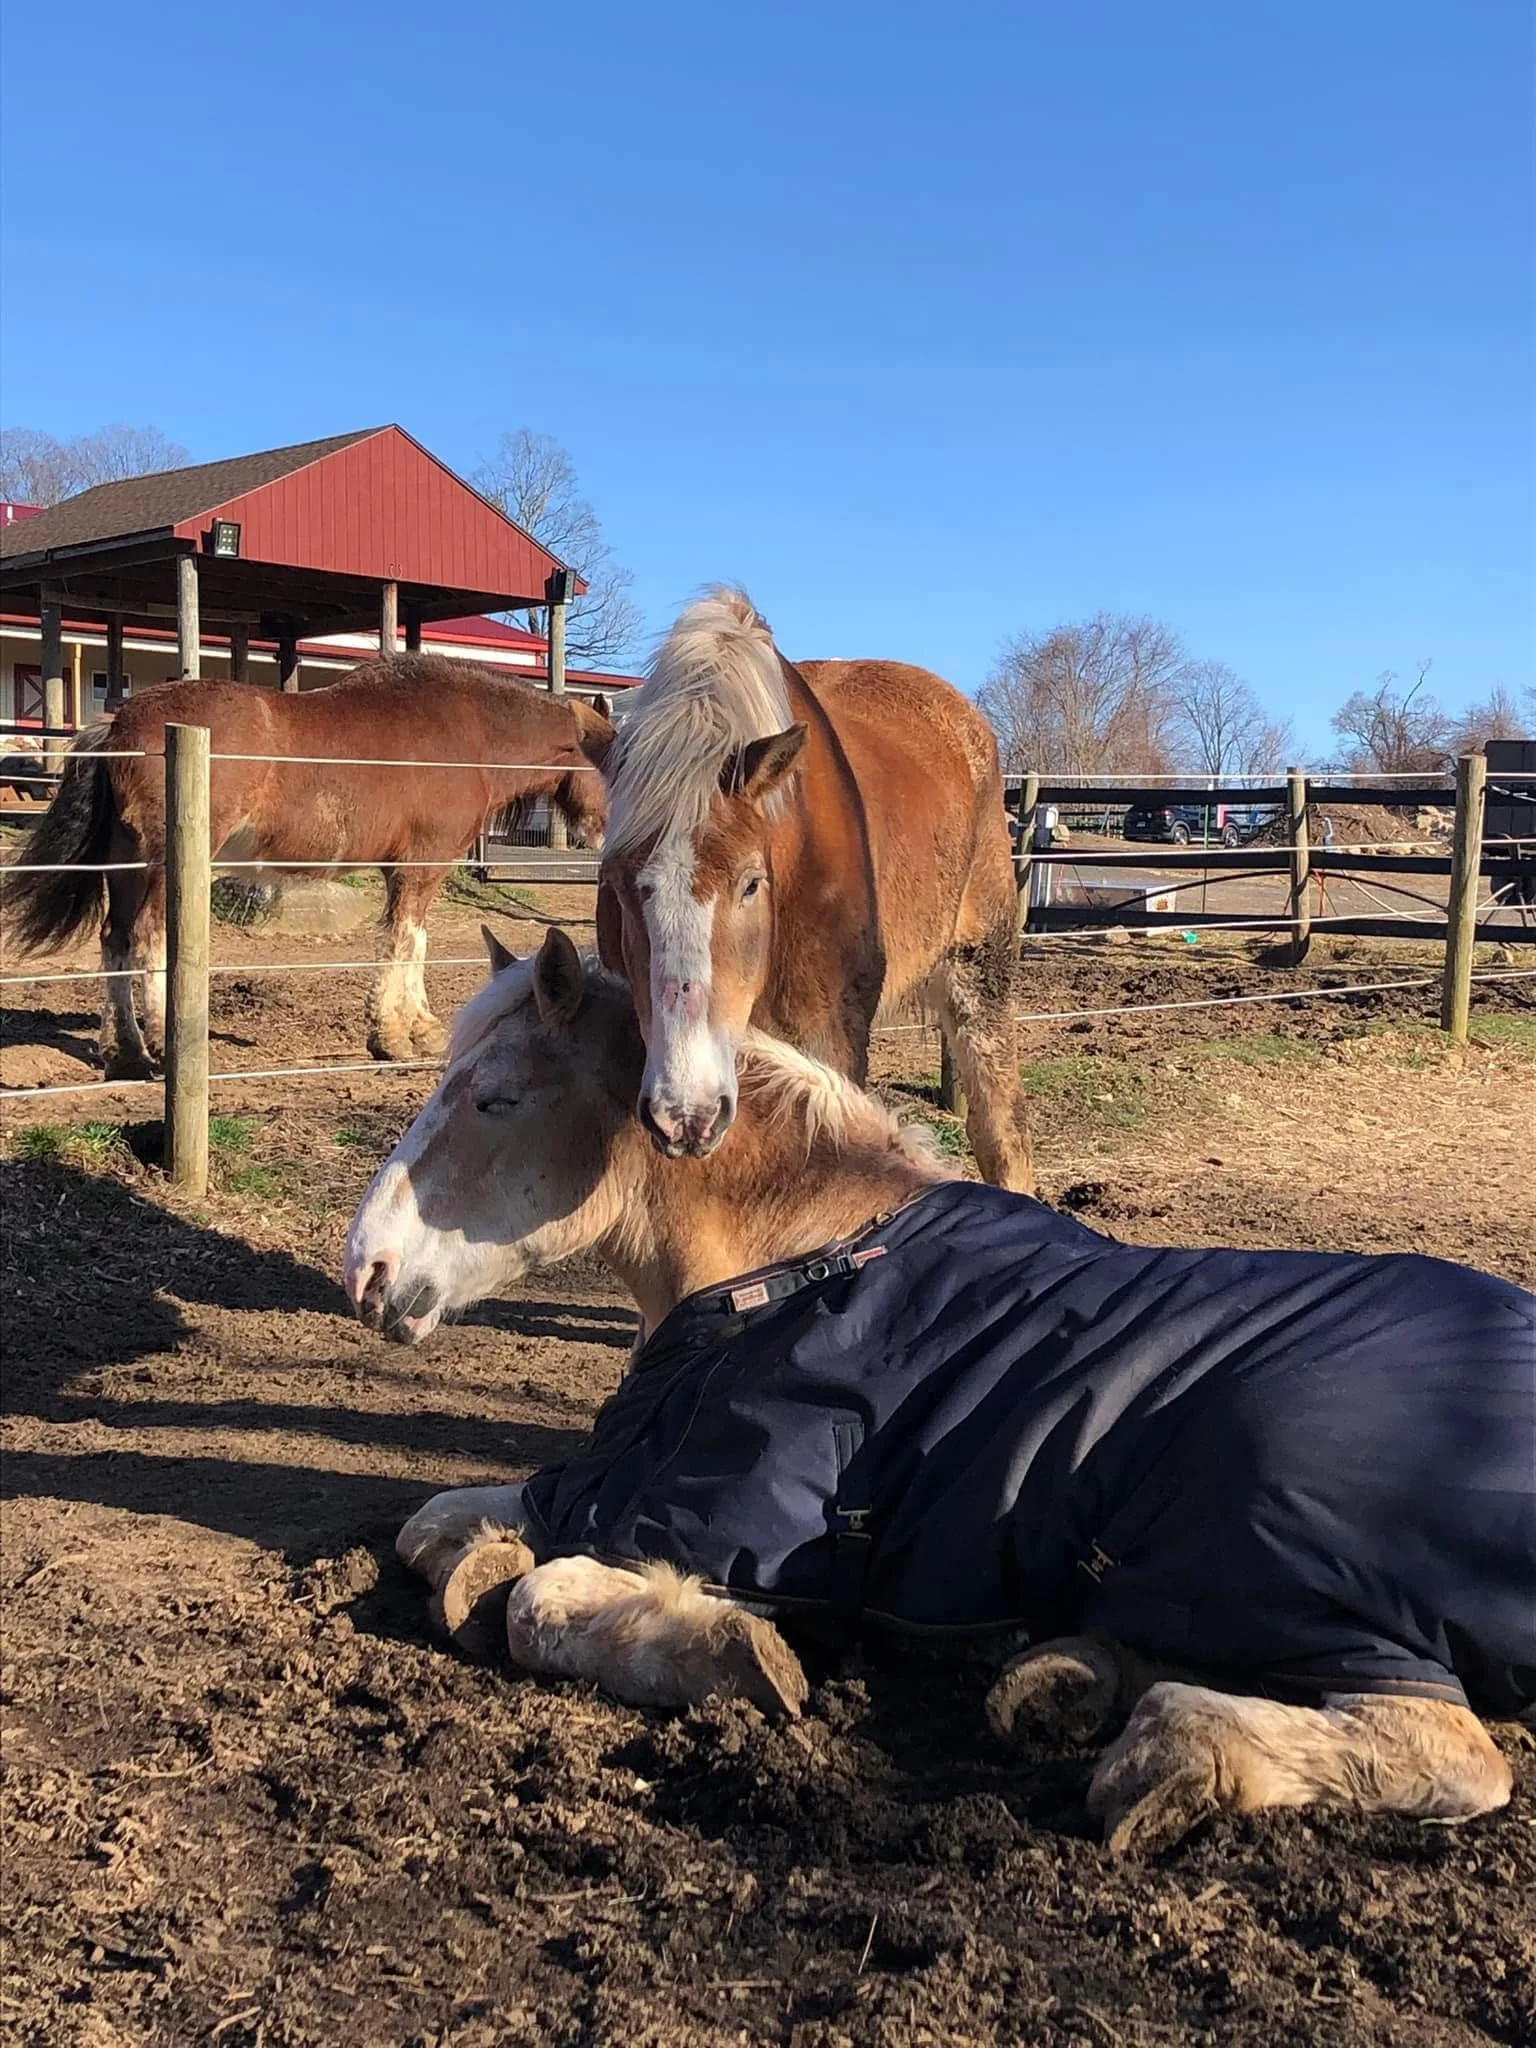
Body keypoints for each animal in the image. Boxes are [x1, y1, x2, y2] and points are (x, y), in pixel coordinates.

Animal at [1, 656, 612, 1076]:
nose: (609, 837)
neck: (466, 735)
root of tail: (118, 723)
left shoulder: (416, 871)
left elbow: (417, 944)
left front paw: (423, 1028)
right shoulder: (418, 867)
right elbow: (400, 943)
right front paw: (391, 1038)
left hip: (127, 862)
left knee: (116, 940)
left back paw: (124, 1051)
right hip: (161, 863)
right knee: (149, 938)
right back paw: (163, 1049)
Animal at [343, 932, 1532, 1855]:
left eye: (496, 1097)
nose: (365, 1271)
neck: (796, 1269)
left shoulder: (722, 1524)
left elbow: (543, 1598)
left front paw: (735, 1655)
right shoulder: (608, 1484)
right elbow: (434, 1524)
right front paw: (480, 1560)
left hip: (1287, 1561)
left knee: (1448, 1754)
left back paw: (1171, 1751)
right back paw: (1063, 1674)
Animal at [592, 589, 1033, 1189]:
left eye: (752, 883)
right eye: (615, 883)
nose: (687, 1115)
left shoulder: (829, 1045)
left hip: (979, 973)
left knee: (1000, 1134)